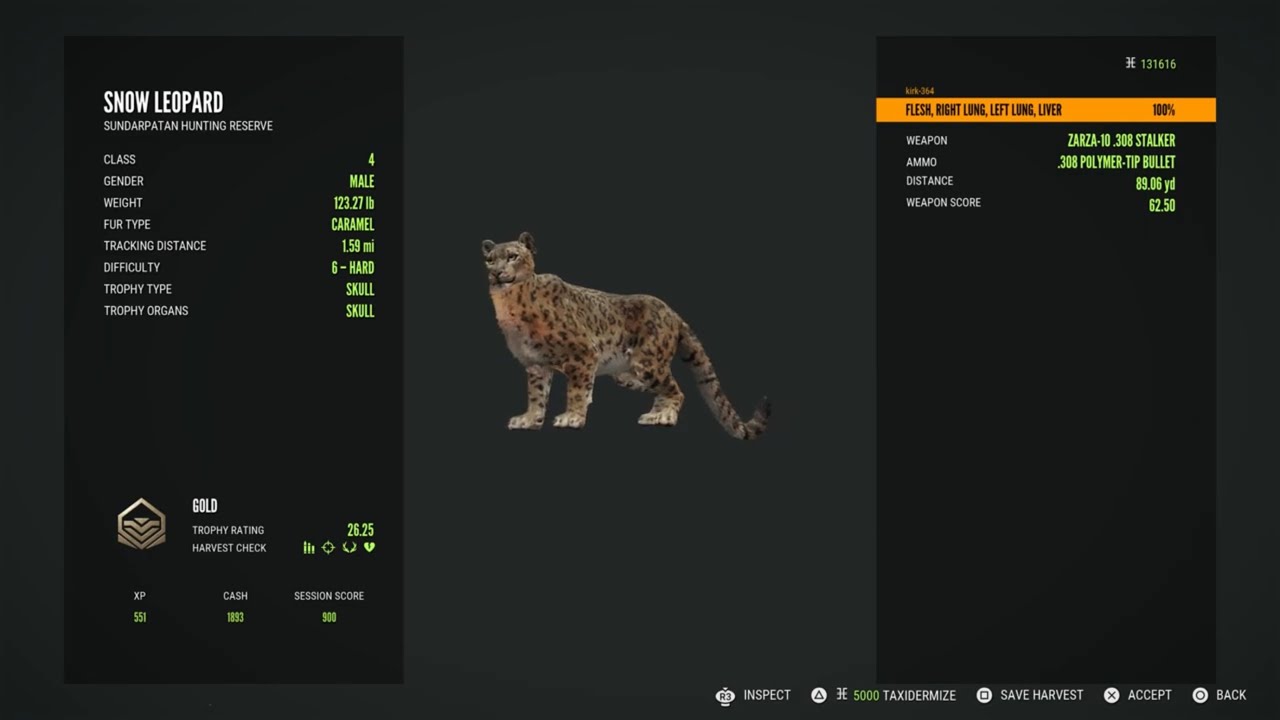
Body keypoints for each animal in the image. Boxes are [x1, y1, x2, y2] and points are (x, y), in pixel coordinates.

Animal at [483, 231, 770, 440]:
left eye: (512, 256)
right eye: (489, 259)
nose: (496, 272)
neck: (508, 305)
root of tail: (672, 312)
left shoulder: (582, 354)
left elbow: (576, 390)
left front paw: (571, 417)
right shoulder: (535, 365)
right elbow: (536, 394)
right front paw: (530, 419)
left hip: (648, 362)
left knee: (675, 389)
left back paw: (662, 417)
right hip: (628, 373)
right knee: (663, 387)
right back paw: (654, 414)